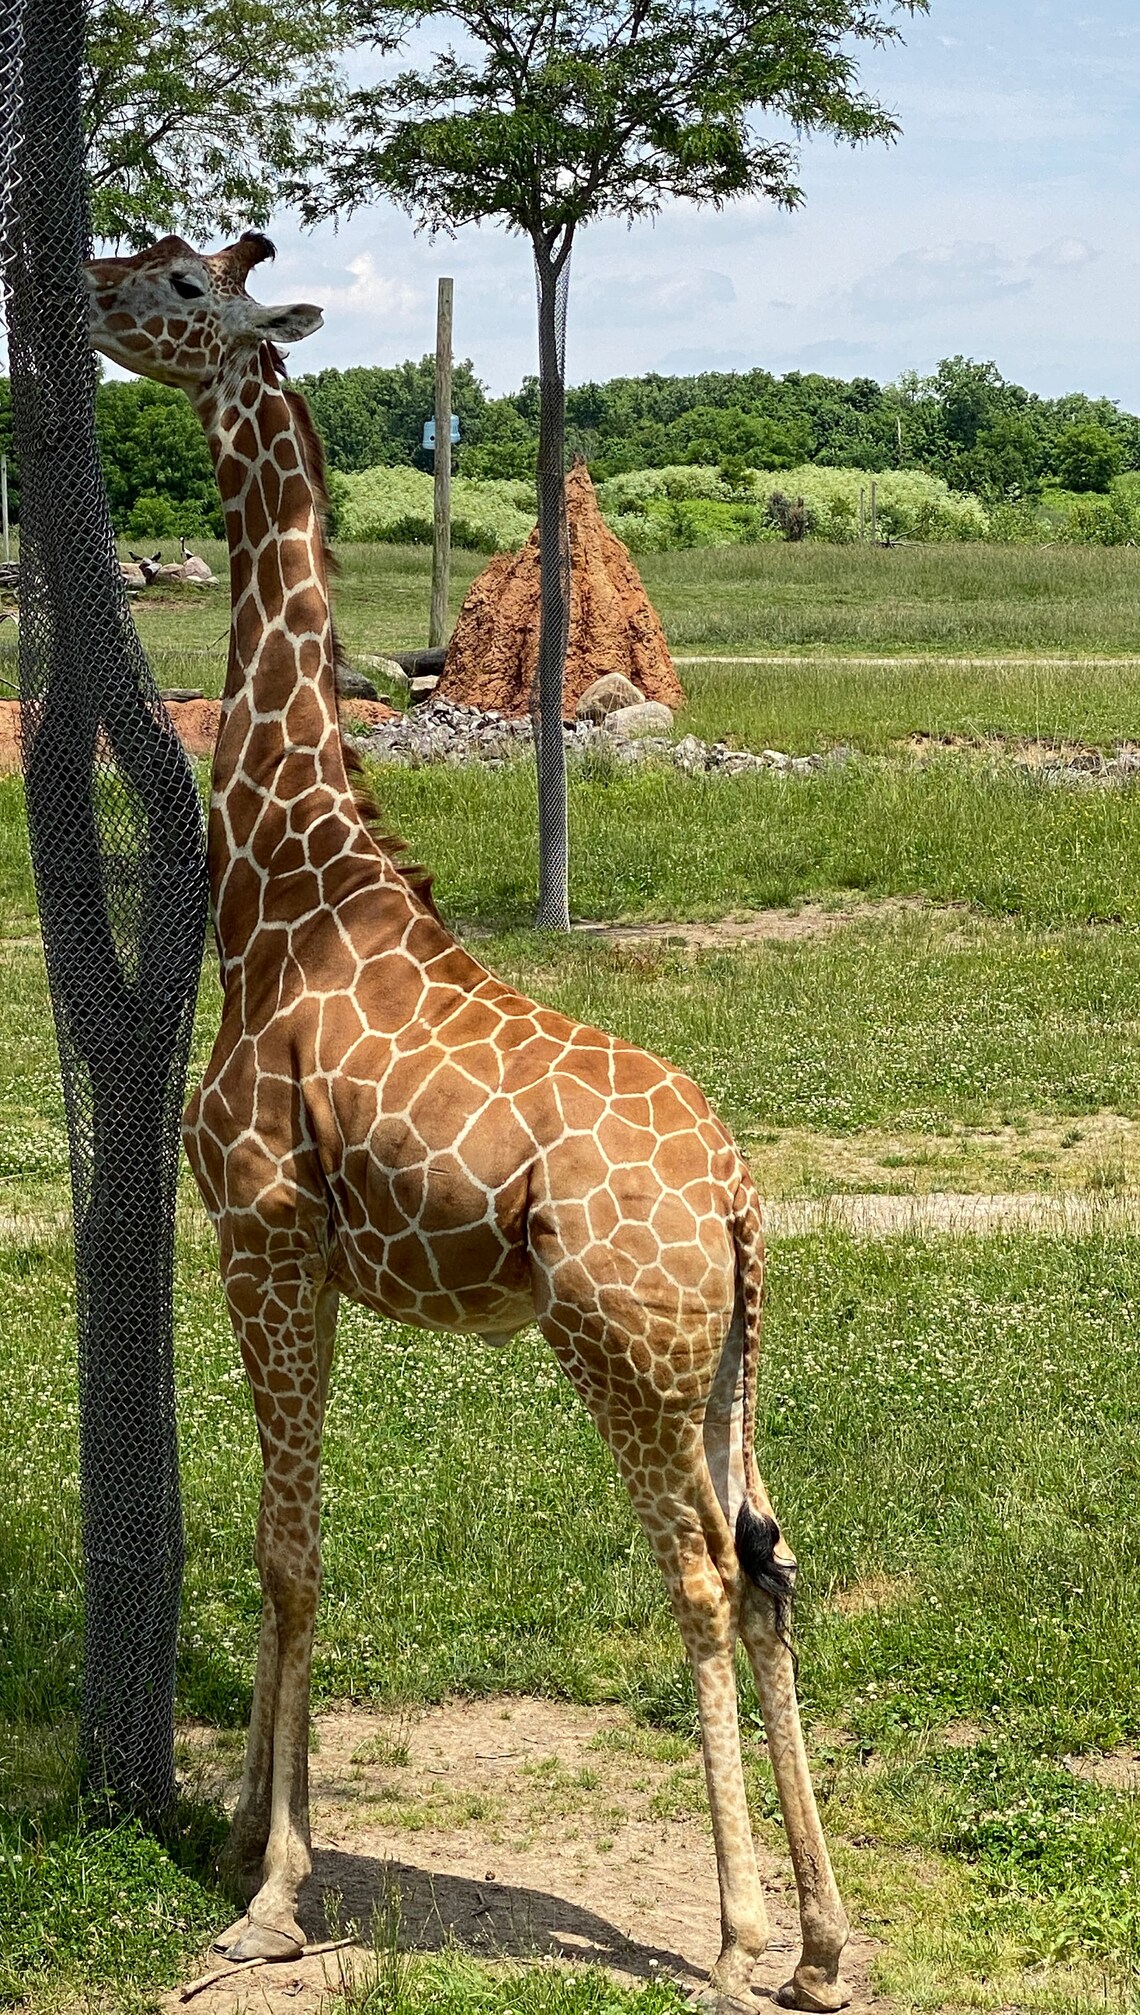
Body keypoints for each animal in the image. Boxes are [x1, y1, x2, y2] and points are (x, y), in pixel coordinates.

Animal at [85, 233, 850, 2010]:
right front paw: (249, 1827)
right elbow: (284, 1538)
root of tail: (739, 1201)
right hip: (723, 1355)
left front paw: (270, 1890)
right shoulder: (306, 1259)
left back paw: (735, 1933)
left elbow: (290, 1549)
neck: (287, 893)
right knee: (774, 1558)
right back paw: (826, 1939)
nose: (80, 286)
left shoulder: (261, 1228)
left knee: (702, 1571)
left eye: (179, 277)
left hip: (621, 1343)